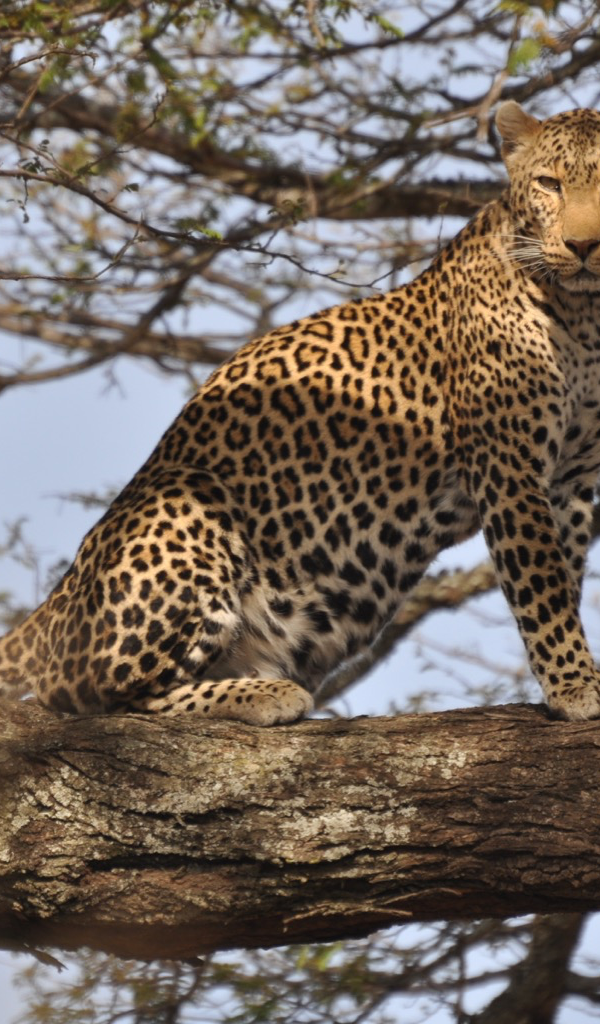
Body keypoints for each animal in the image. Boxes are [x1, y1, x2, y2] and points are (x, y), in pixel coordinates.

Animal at [3, 100, 600, 726]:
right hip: (185, 499)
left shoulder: (572, 479)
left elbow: (566, 576)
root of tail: (56, 603)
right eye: (551, 185)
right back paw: (260, 694)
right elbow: (542, 586)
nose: (584, 247)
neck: (586, 314)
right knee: (96, 695)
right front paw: (576, 686)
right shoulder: (508, 466)